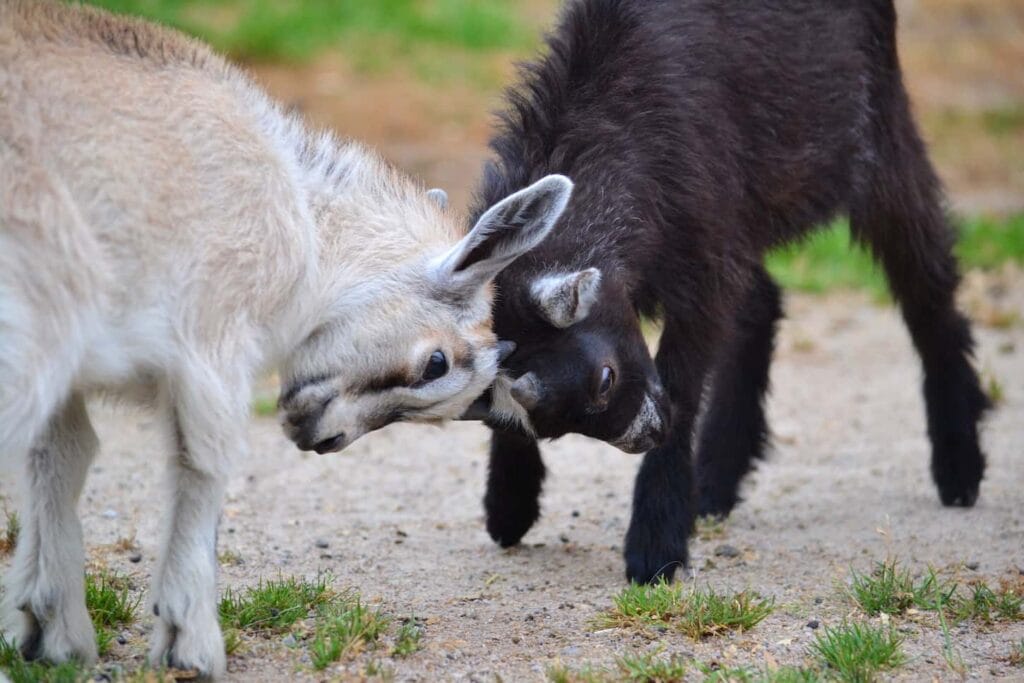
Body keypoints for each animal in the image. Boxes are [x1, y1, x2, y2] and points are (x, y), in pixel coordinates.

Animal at [0, 1, 571, 675]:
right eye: (436, 362)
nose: (325, 439)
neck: (300, 213)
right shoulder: (212, 338)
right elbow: (203, 463)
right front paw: (191, 642)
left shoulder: (70, 374)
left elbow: (59, 458)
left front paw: (49, 631)